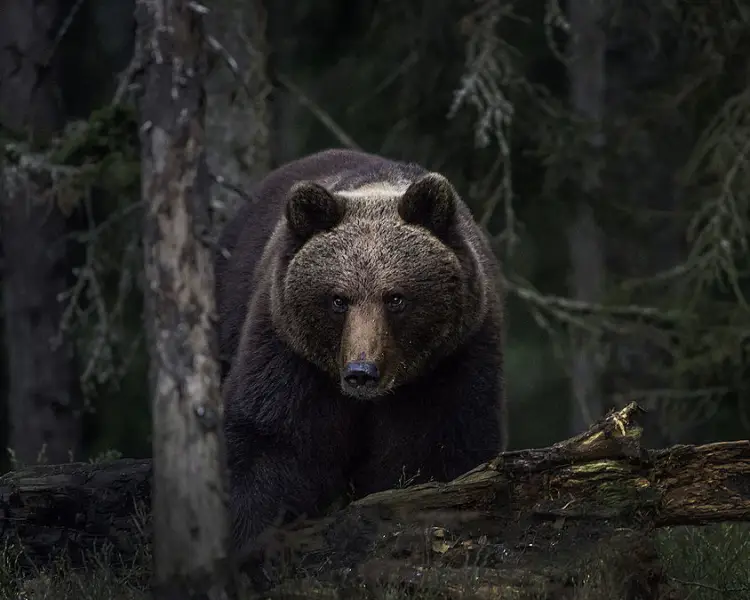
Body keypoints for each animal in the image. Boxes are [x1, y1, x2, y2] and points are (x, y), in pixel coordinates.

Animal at [214, 148, 507, 556]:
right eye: (338, 299)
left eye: (395, 298)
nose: (361, 372)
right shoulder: (289, 354)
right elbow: (273, 438)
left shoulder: (451, 363)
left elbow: (438, 450)